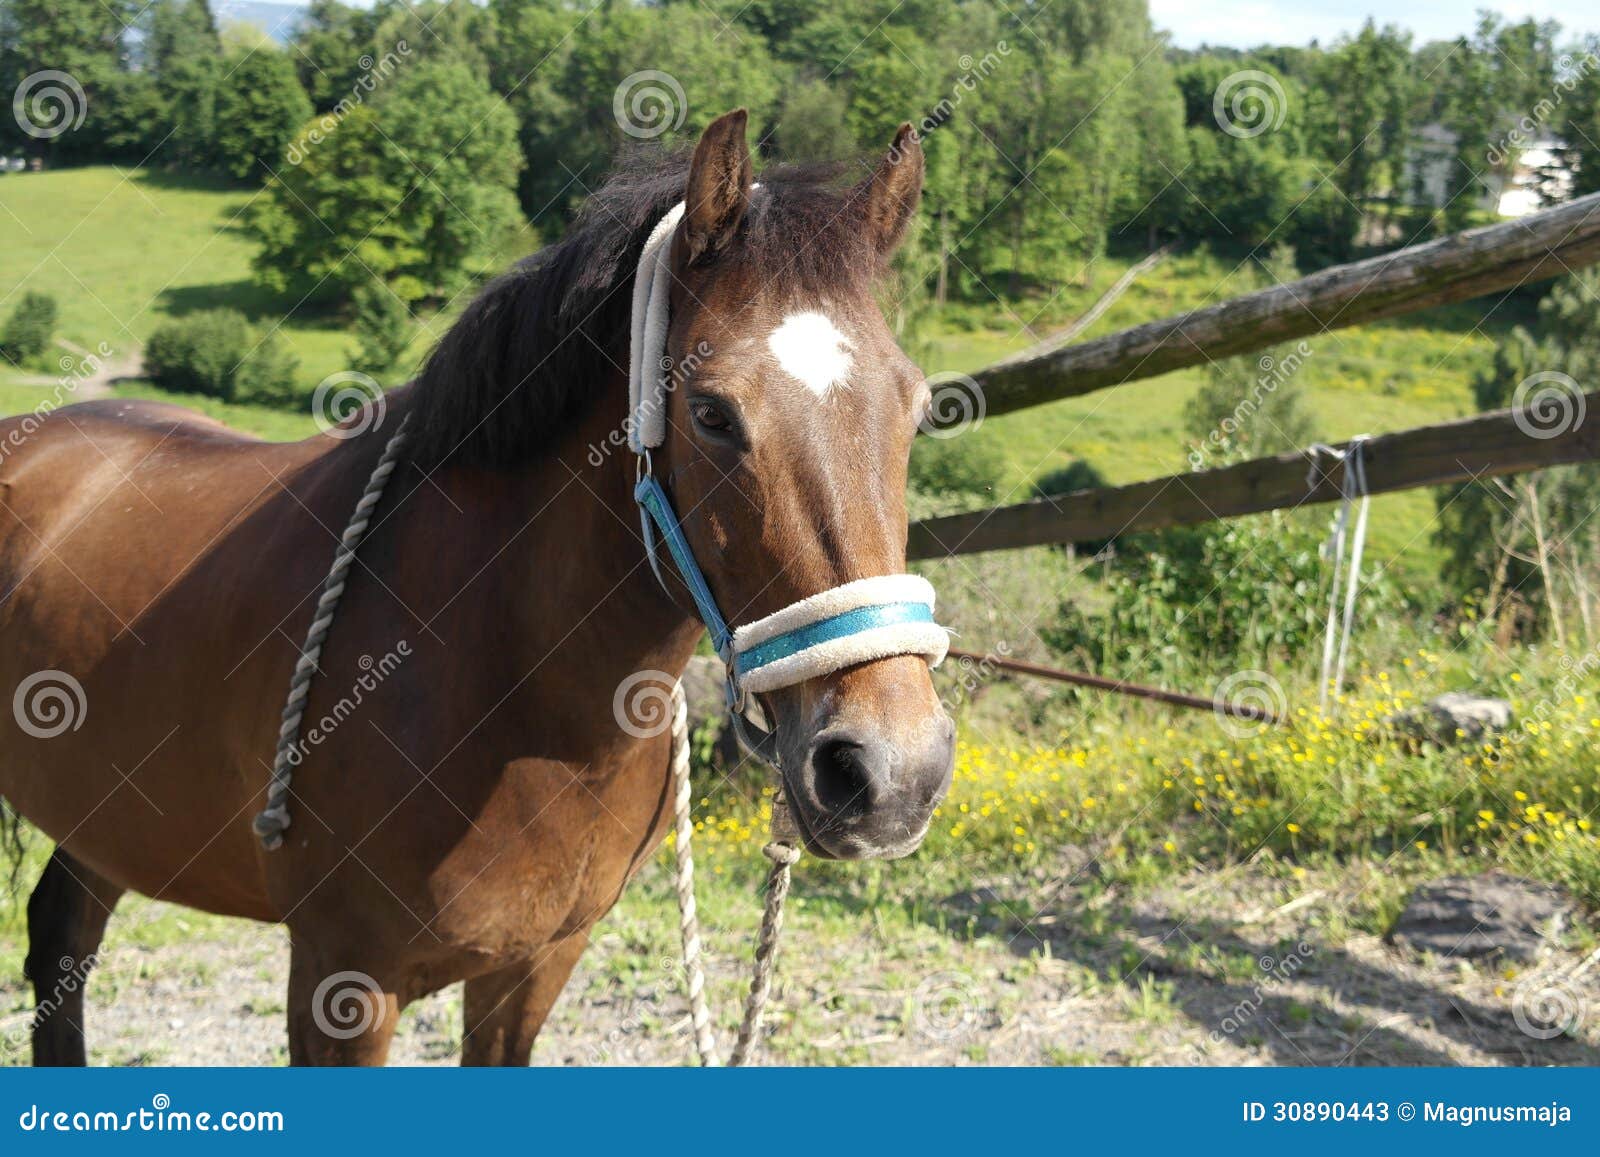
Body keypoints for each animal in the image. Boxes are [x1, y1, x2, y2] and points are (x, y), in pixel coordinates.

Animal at [0, 108, 954, 1066]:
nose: (892, 773)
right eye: (713, 413)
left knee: (63, 934)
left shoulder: (534, 964)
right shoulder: (341, 979)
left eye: (917, 411)